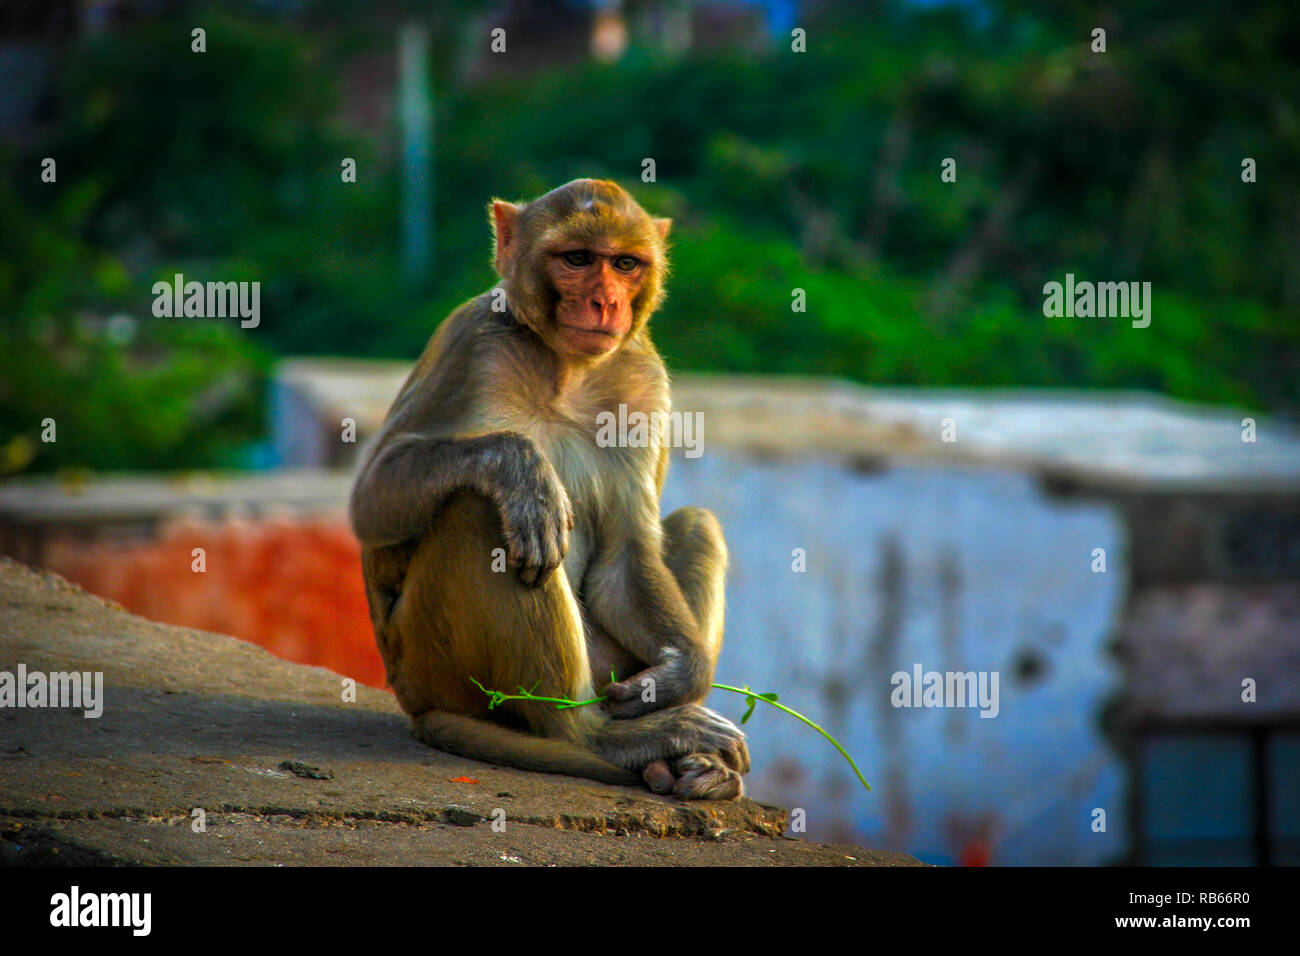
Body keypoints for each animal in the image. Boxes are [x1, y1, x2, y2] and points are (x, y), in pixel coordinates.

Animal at [350, 178, 749, 800]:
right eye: (578, 259)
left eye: (625, 264)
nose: (605, 302)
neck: (566, 370)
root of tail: (412, 699)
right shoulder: (472, 342)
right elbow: (373, 497)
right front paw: (521, 469)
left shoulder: (644, 384)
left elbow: (625, 557)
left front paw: (681, 672)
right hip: (430, 661)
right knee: (479, 512)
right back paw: (600, 737)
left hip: (605, 670)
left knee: (695, 524)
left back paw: (691, 764)